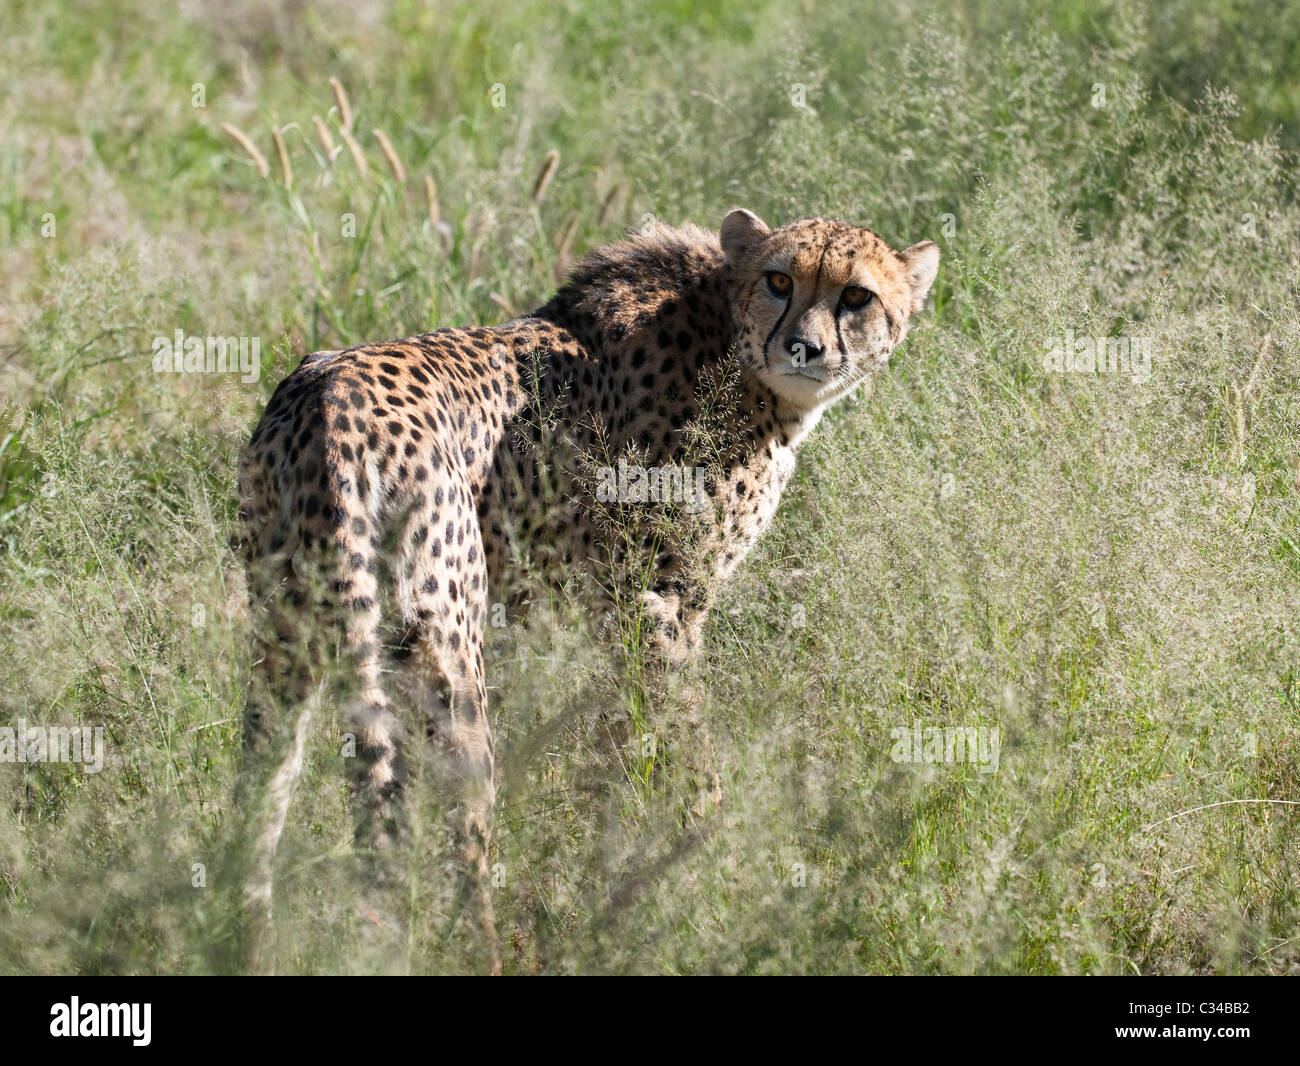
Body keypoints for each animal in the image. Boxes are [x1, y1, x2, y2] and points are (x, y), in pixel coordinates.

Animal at [235, 207, 939, 971]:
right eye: (780, 280)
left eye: (857, 296)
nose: (804, 348)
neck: (729, 336)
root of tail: (327, 392)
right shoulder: (657, 604)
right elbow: (684, 741)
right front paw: (705, 856)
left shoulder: (599, 615)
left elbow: (617, 742)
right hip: (445, 650)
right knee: (456, 836)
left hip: (287, 639)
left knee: (259, 791)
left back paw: (240, 934)